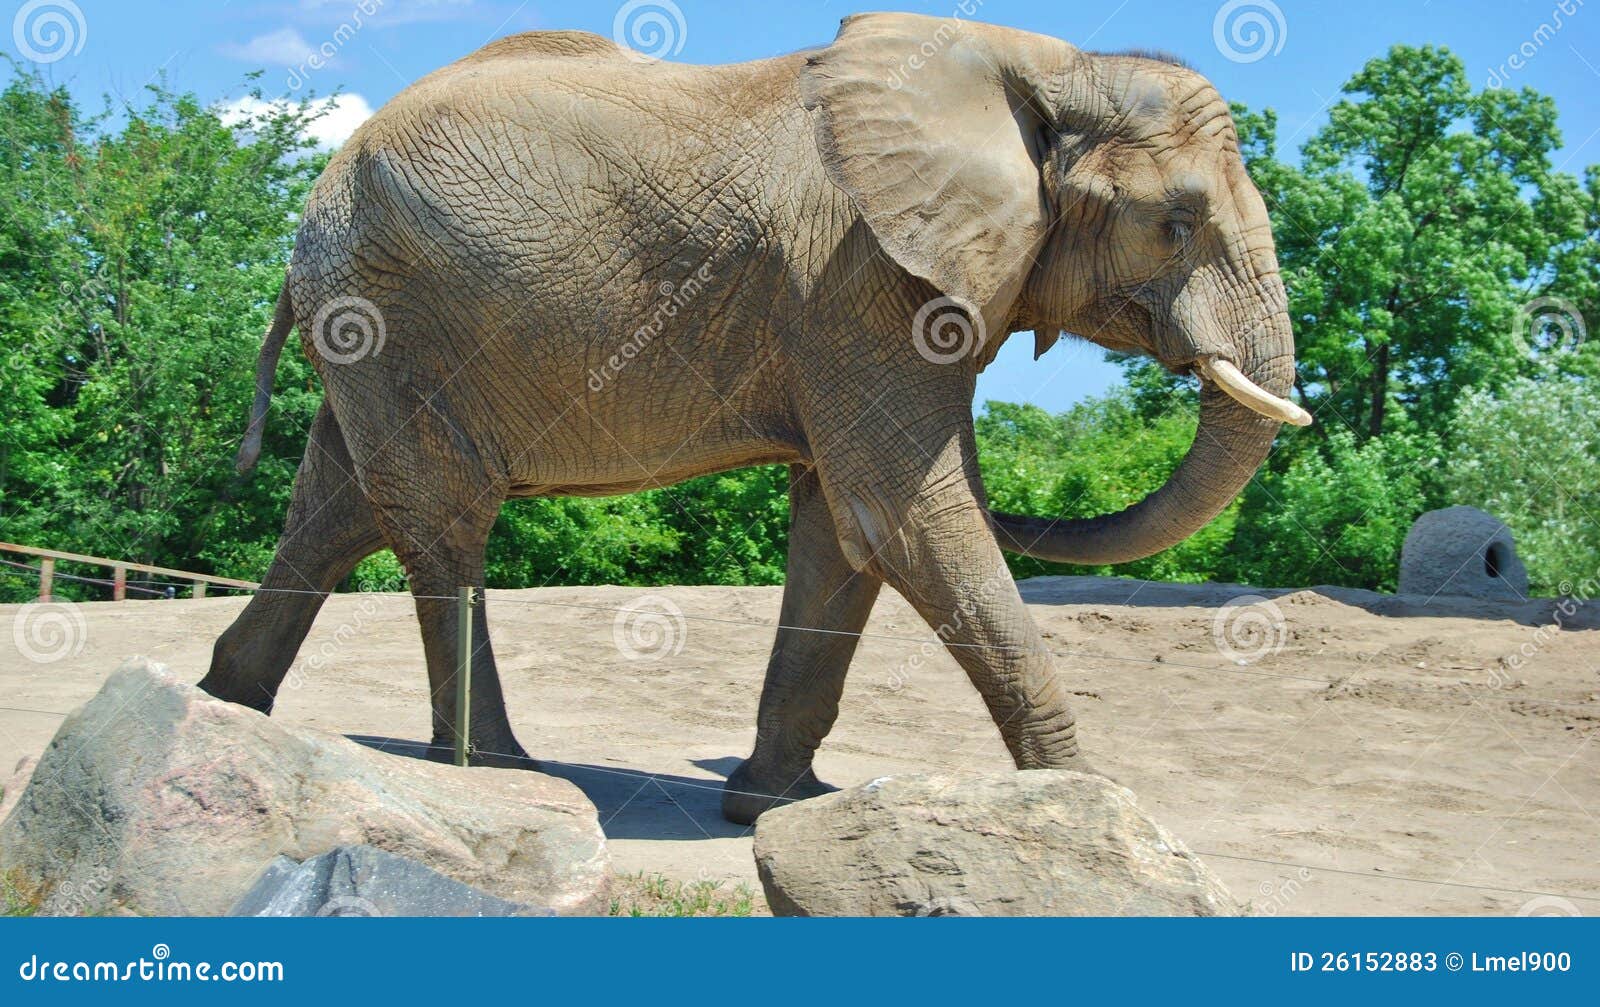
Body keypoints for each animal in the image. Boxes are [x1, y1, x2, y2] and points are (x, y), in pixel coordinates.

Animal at [200, 13, 1310, 825]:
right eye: (1175, 223)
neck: (1047, 66)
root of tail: (321, 186)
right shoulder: (858, 278)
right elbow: (902, 511)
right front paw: (1086, 797)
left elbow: (842, 526)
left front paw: (768, 803)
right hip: (390, 310)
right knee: (439, 517)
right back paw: (505, 771)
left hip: (369, 328)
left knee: (340, 509)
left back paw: (226, 700)